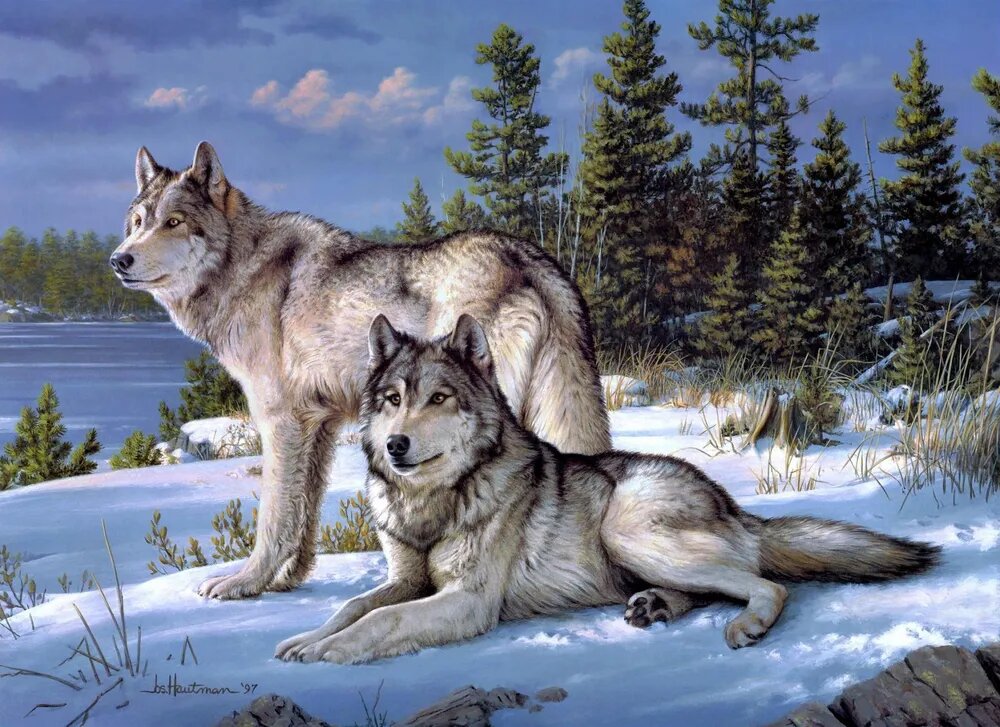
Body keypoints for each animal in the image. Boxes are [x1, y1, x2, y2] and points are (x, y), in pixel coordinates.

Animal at [110, 142, 611, 601]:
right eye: (137, 223)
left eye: (174, 222)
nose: (119, 260)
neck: (242, 267)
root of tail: (531, 258)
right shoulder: (319, 425)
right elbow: (304, 513)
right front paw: (286, 581)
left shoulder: (280, 422)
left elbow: (273, 516)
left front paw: (244, 583)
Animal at [274, 314, 940, 663]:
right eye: (392, 400)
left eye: (438, 398)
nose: (396, 445)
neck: (433, 503)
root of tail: (731, 504)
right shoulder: (406, 580)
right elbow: (351, 607)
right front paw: (304, 637)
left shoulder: (468, 600)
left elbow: (381, 622)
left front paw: (326, 651)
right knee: (714, 587)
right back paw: (655, 607)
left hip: (627, 530)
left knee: (767, 585)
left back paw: (743, 625)